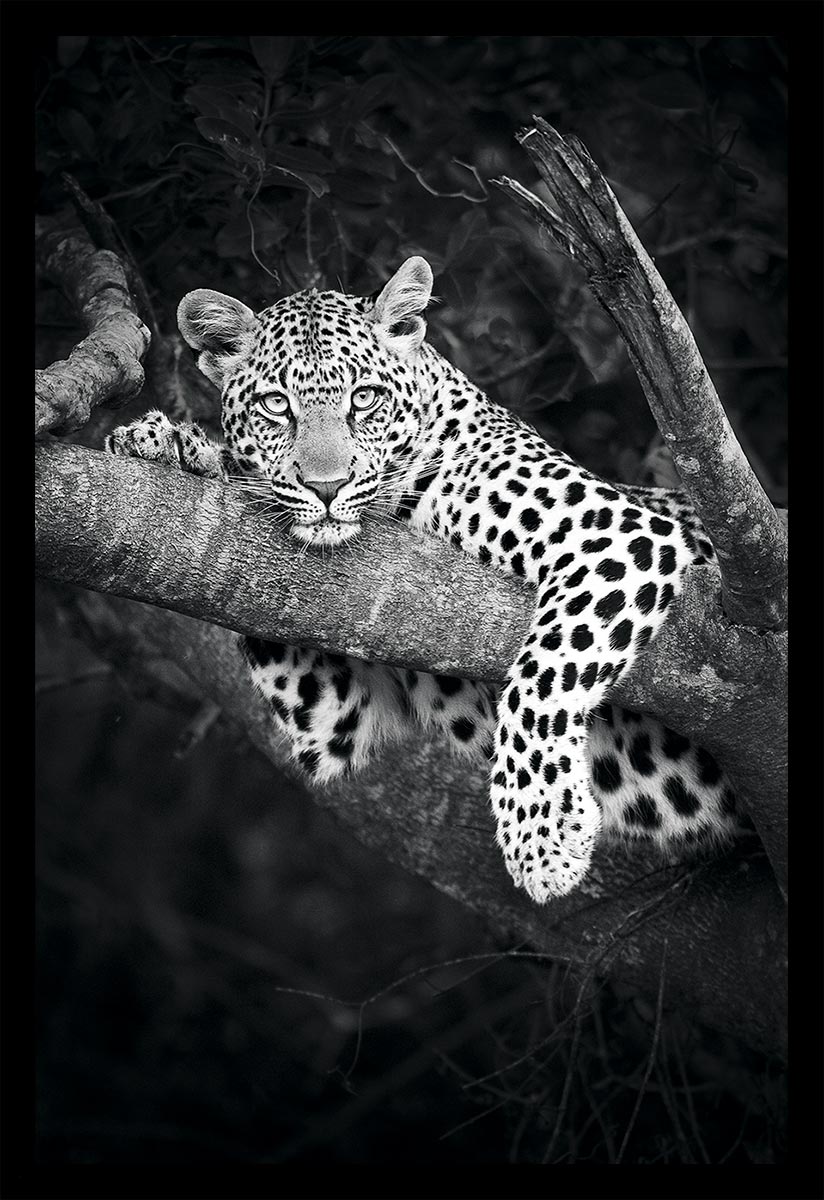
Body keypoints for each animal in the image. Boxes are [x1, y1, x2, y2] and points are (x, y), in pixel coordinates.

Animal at [106, 256, 742, 904]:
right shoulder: (336, 711)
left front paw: (542, 834)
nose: (326, 487)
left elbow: (543, 674)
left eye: (364, 399)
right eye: (277, 406)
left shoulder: (617, 533)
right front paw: (170, 444)